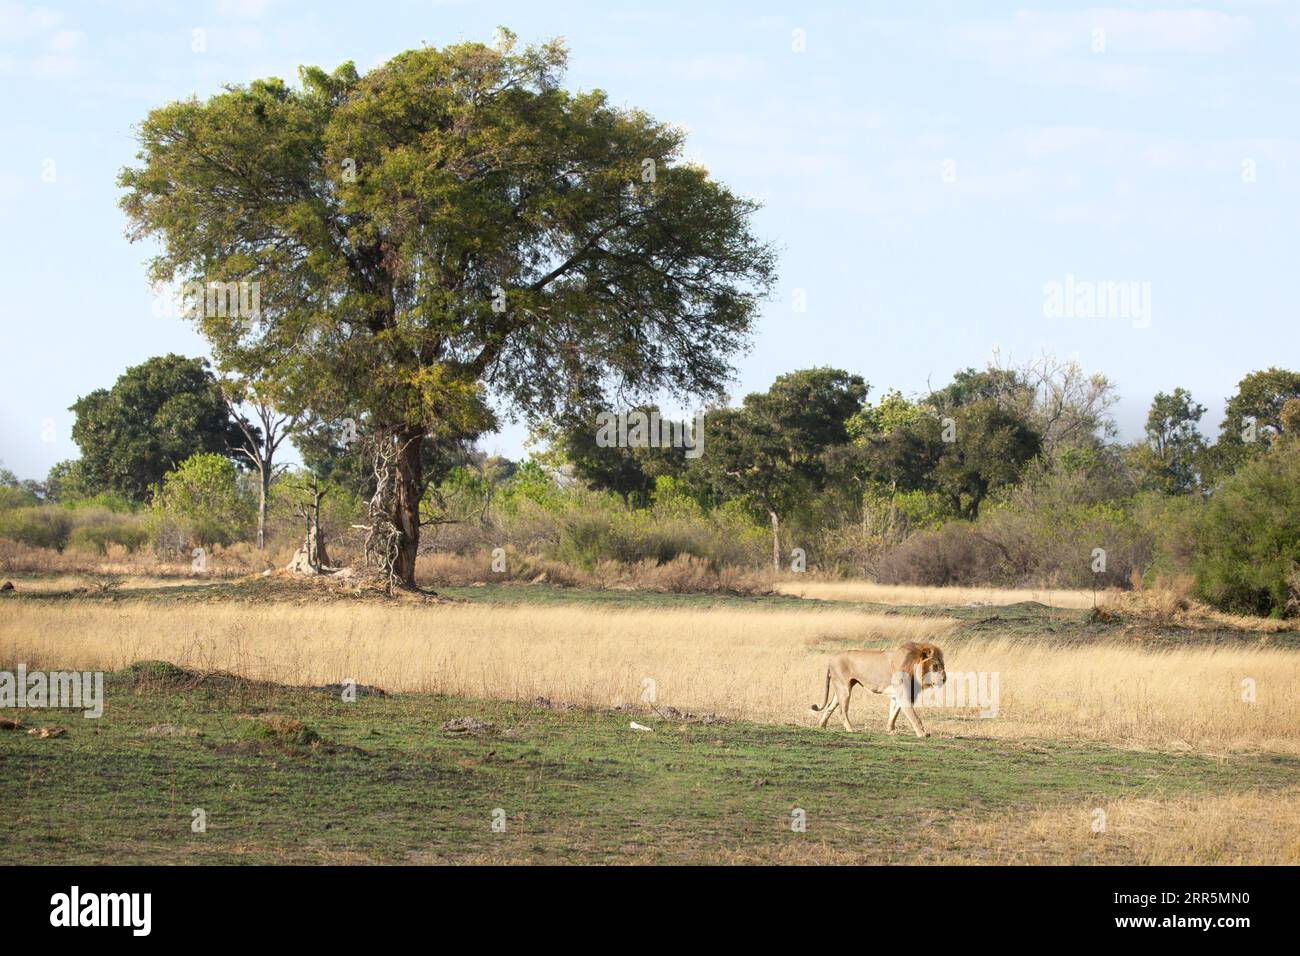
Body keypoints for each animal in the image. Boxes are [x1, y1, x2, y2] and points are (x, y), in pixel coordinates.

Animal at [809, 641, 946, 737]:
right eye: (935, 666)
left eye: (942, 665)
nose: (945, 679)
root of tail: (831, 659)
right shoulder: (903, 694)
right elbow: (914, 716)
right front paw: (922, 733)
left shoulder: (898, 694)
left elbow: (894, 713)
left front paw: (890, 730)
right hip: (844, 689)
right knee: (841, 711)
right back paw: (851, 729)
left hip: (842, 688)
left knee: (830, 706)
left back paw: (821, 725)